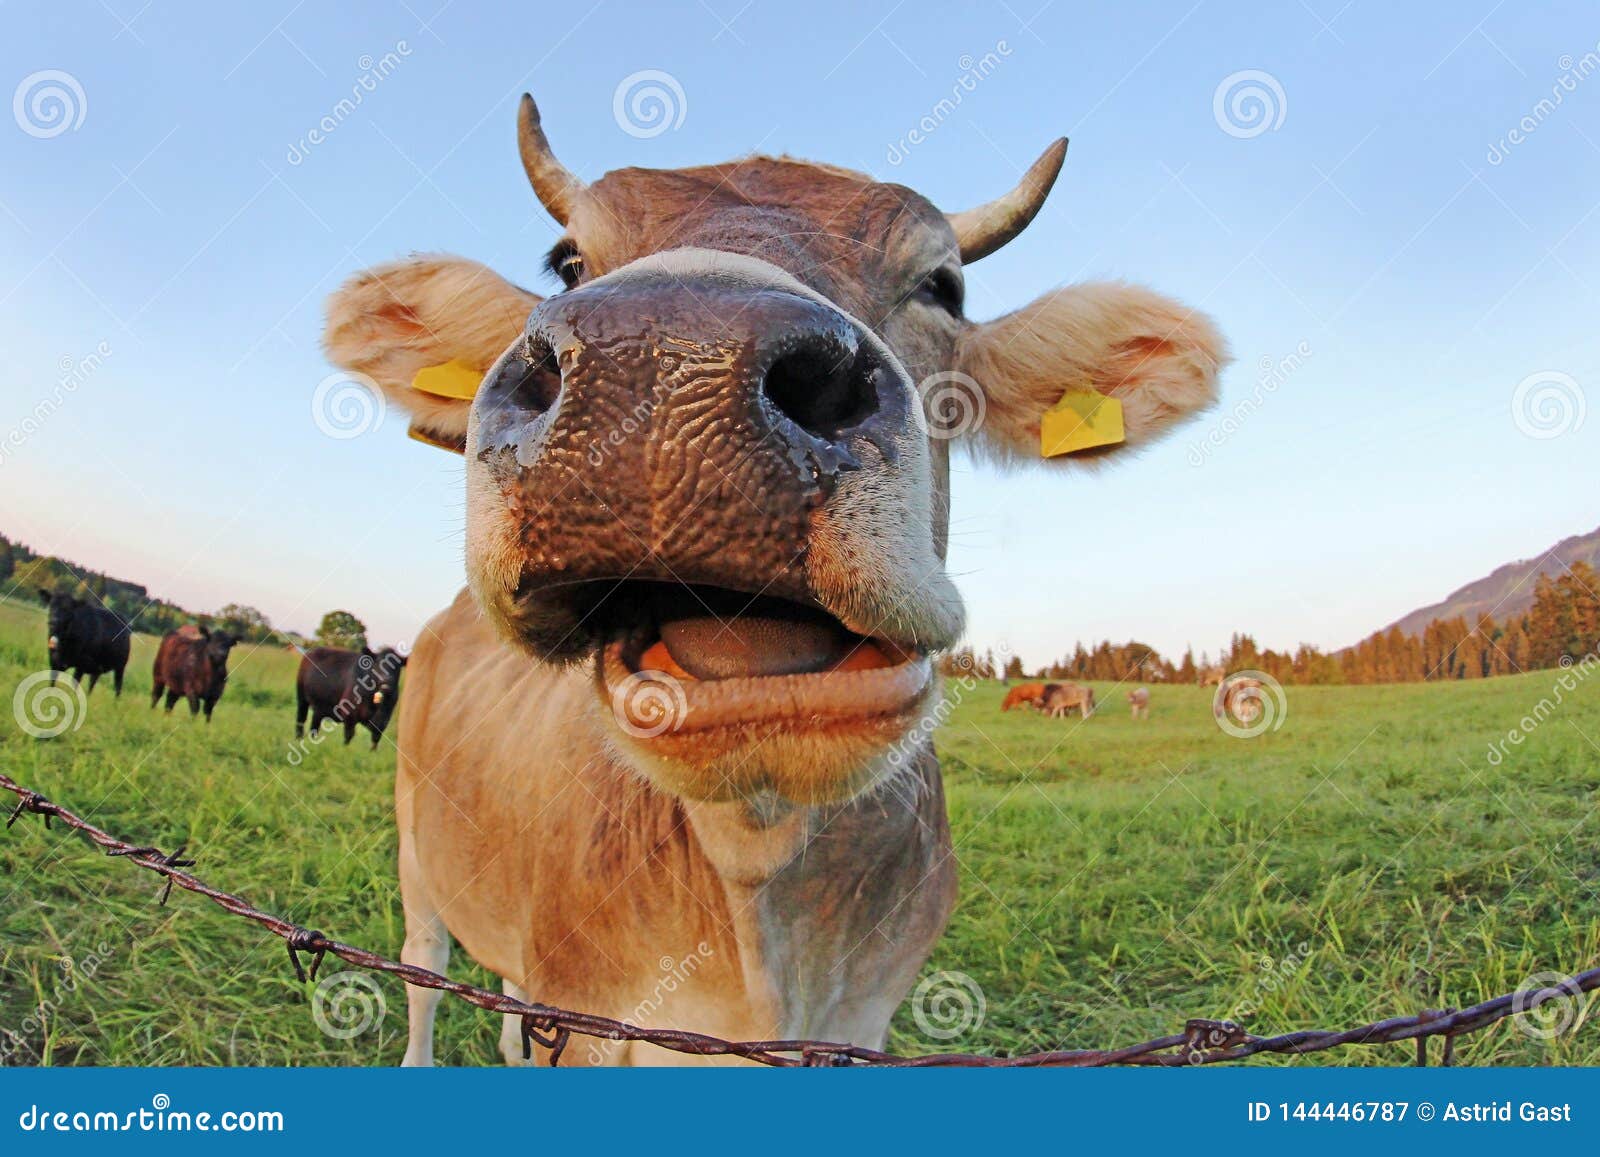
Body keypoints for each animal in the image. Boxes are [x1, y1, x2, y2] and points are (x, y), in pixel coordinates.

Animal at [320, 95, 1225, 1065]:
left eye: (944, 286)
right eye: (567, 261)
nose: (667, 356)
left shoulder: (862, 1020)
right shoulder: (589, 1012)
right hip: (416, 846)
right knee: (424, 972)